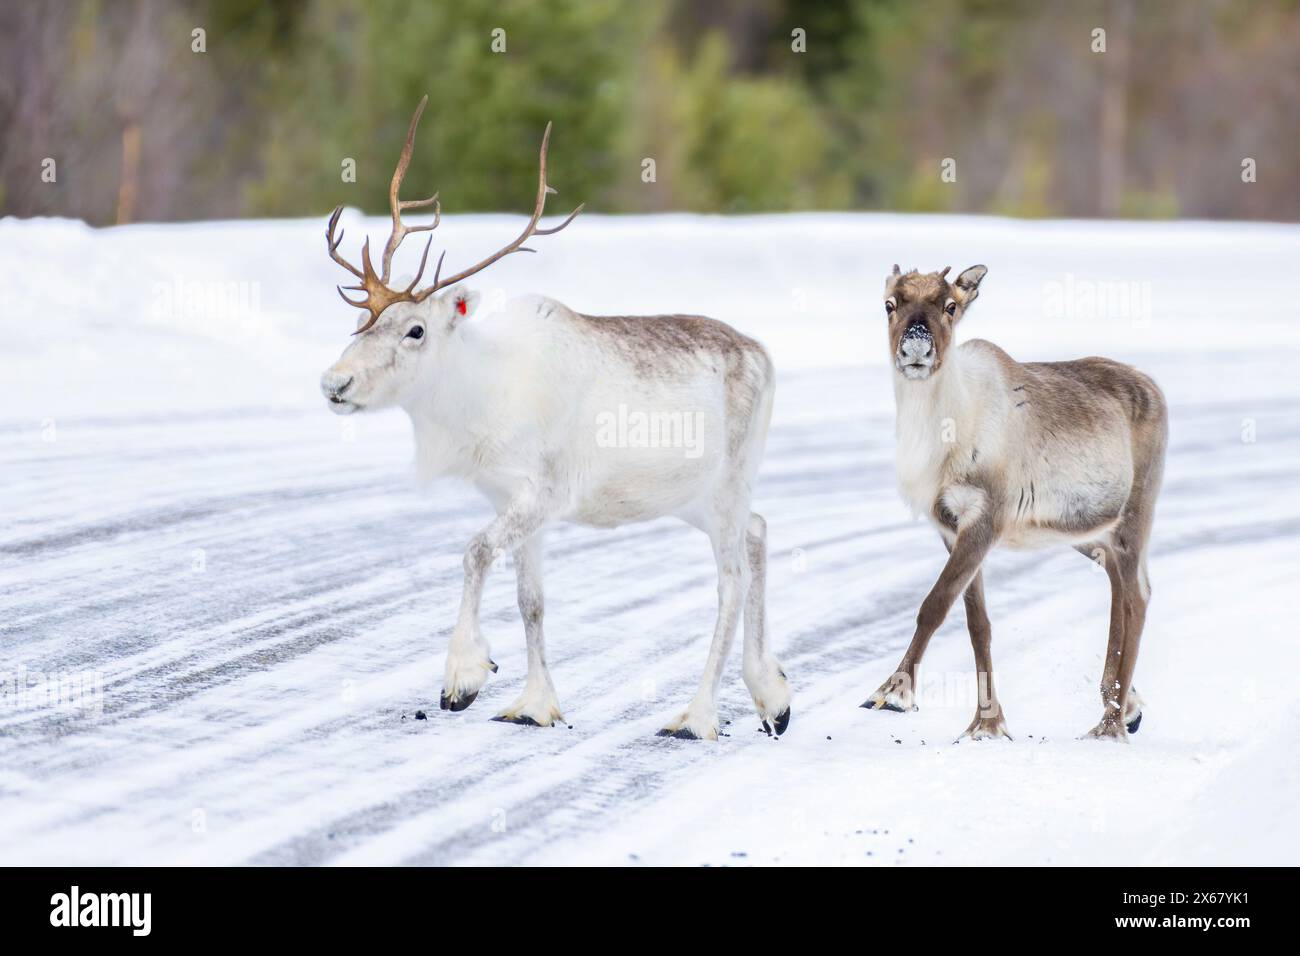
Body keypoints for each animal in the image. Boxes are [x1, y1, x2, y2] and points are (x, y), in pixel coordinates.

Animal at [318, 97, 789, 741]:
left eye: (415, 330)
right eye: (359, 325)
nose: (334, 384)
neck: (476, 400)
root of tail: (763, 354)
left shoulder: (541, 493)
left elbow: (474, 551)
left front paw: (463, 676)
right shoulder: (509, 502)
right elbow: (530, 601)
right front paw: (534, 704)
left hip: (727, 485)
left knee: (732, 581)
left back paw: (695, 716)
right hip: (694, 496)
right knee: (761, 531)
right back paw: (773, 694)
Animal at [861, 265, 1167, 741]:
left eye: (951, 306)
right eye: (889, 304)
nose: (915, 348)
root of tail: (1152, 387)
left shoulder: (985, 518)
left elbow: (933, 605)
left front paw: (892, 693)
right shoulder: (951, 527)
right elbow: (977, 624)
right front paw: (986, 724)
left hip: (1135, 514)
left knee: (1136, 595)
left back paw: (1110, 724)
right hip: (1091, 536)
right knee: (1122, 587)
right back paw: (1127, 705)